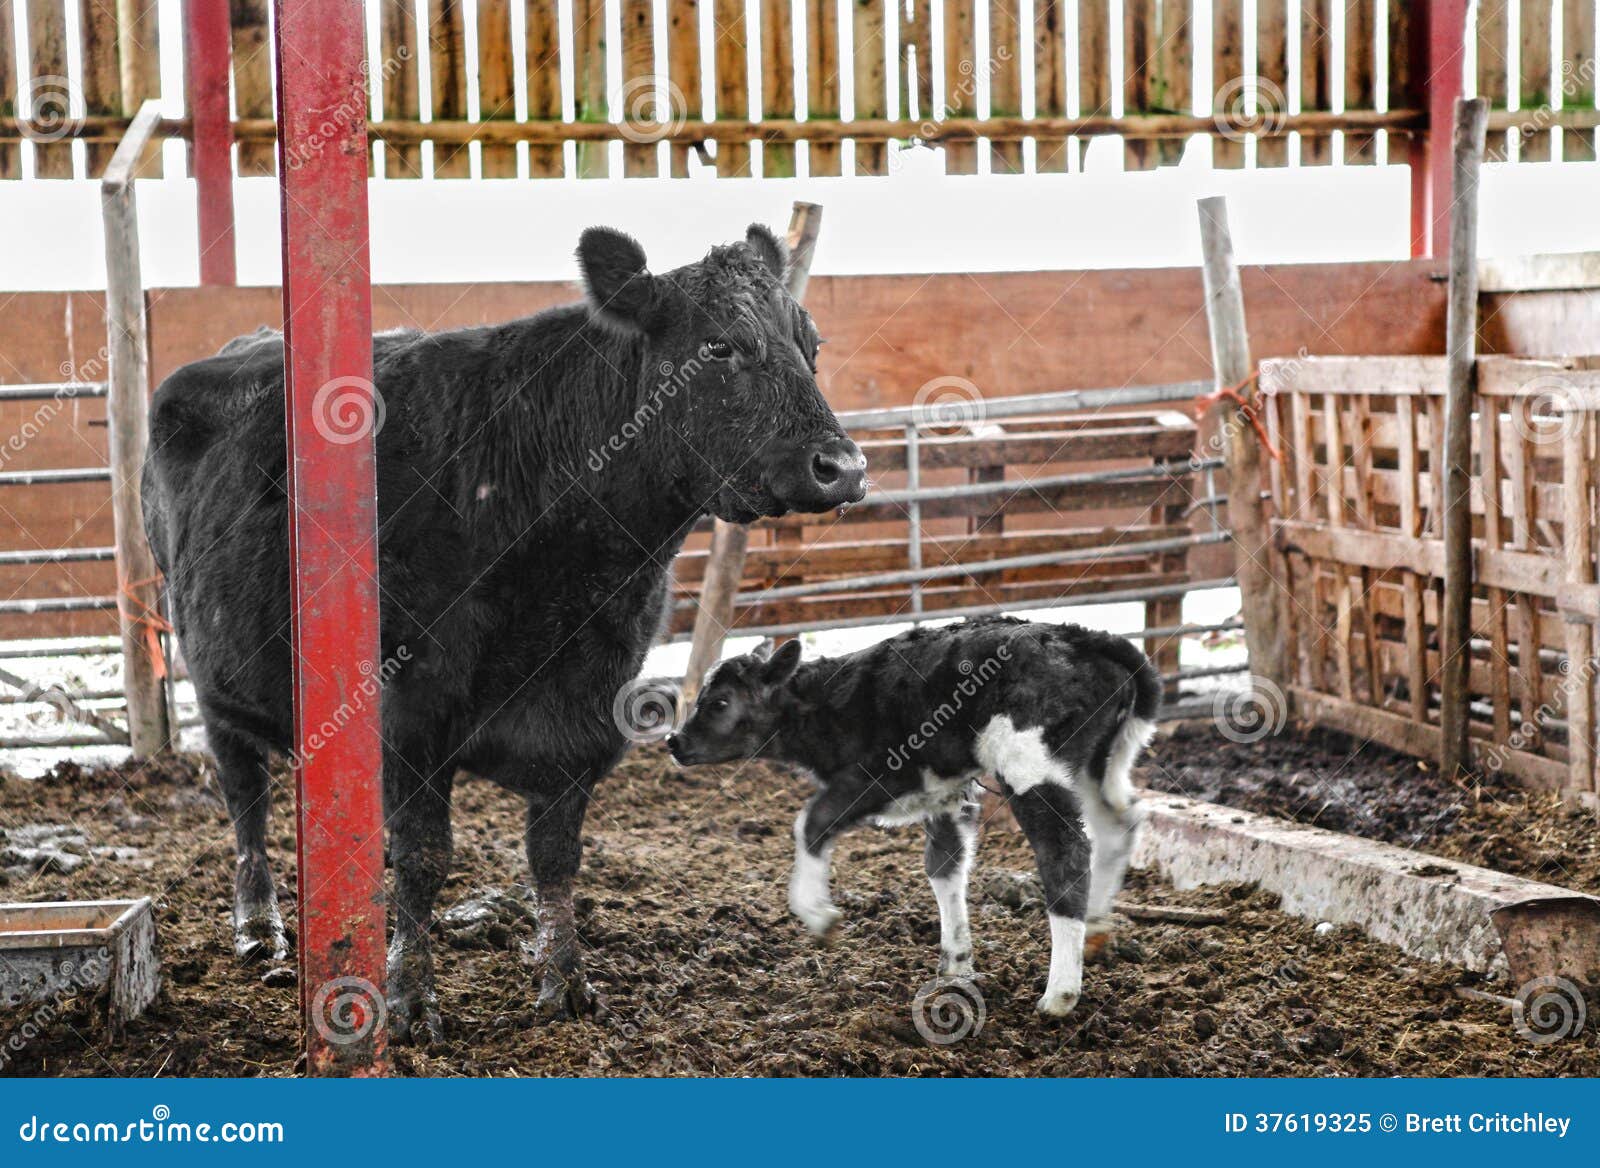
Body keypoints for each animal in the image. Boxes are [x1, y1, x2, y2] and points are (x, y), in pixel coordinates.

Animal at [141, 224, 867, 1043]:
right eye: (718, 346)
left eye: (810, 345)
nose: (842, 466)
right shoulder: (410, 715)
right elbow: (422, 859)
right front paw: (408, 996)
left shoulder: (587, 713)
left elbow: (555, 857)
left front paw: (565, 978)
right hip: (210, 681)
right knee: (247, 800)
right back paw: (259, 924)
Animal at [666, 616, 1159, 1016]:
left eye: (721, 702)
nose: (674, 741)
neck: (828, 705)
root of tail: (1085, 637)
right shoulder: (942, 795)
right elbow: (944, 865)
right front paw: (956, 966)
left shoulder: (874, 776)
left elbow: (812, 821)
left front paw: (819, 916)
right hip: (1097, 763)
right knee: (1120, 825)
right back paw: (1094, 929)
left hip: (1030, 765)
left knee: (1066, 853)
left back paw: (1060, 993)